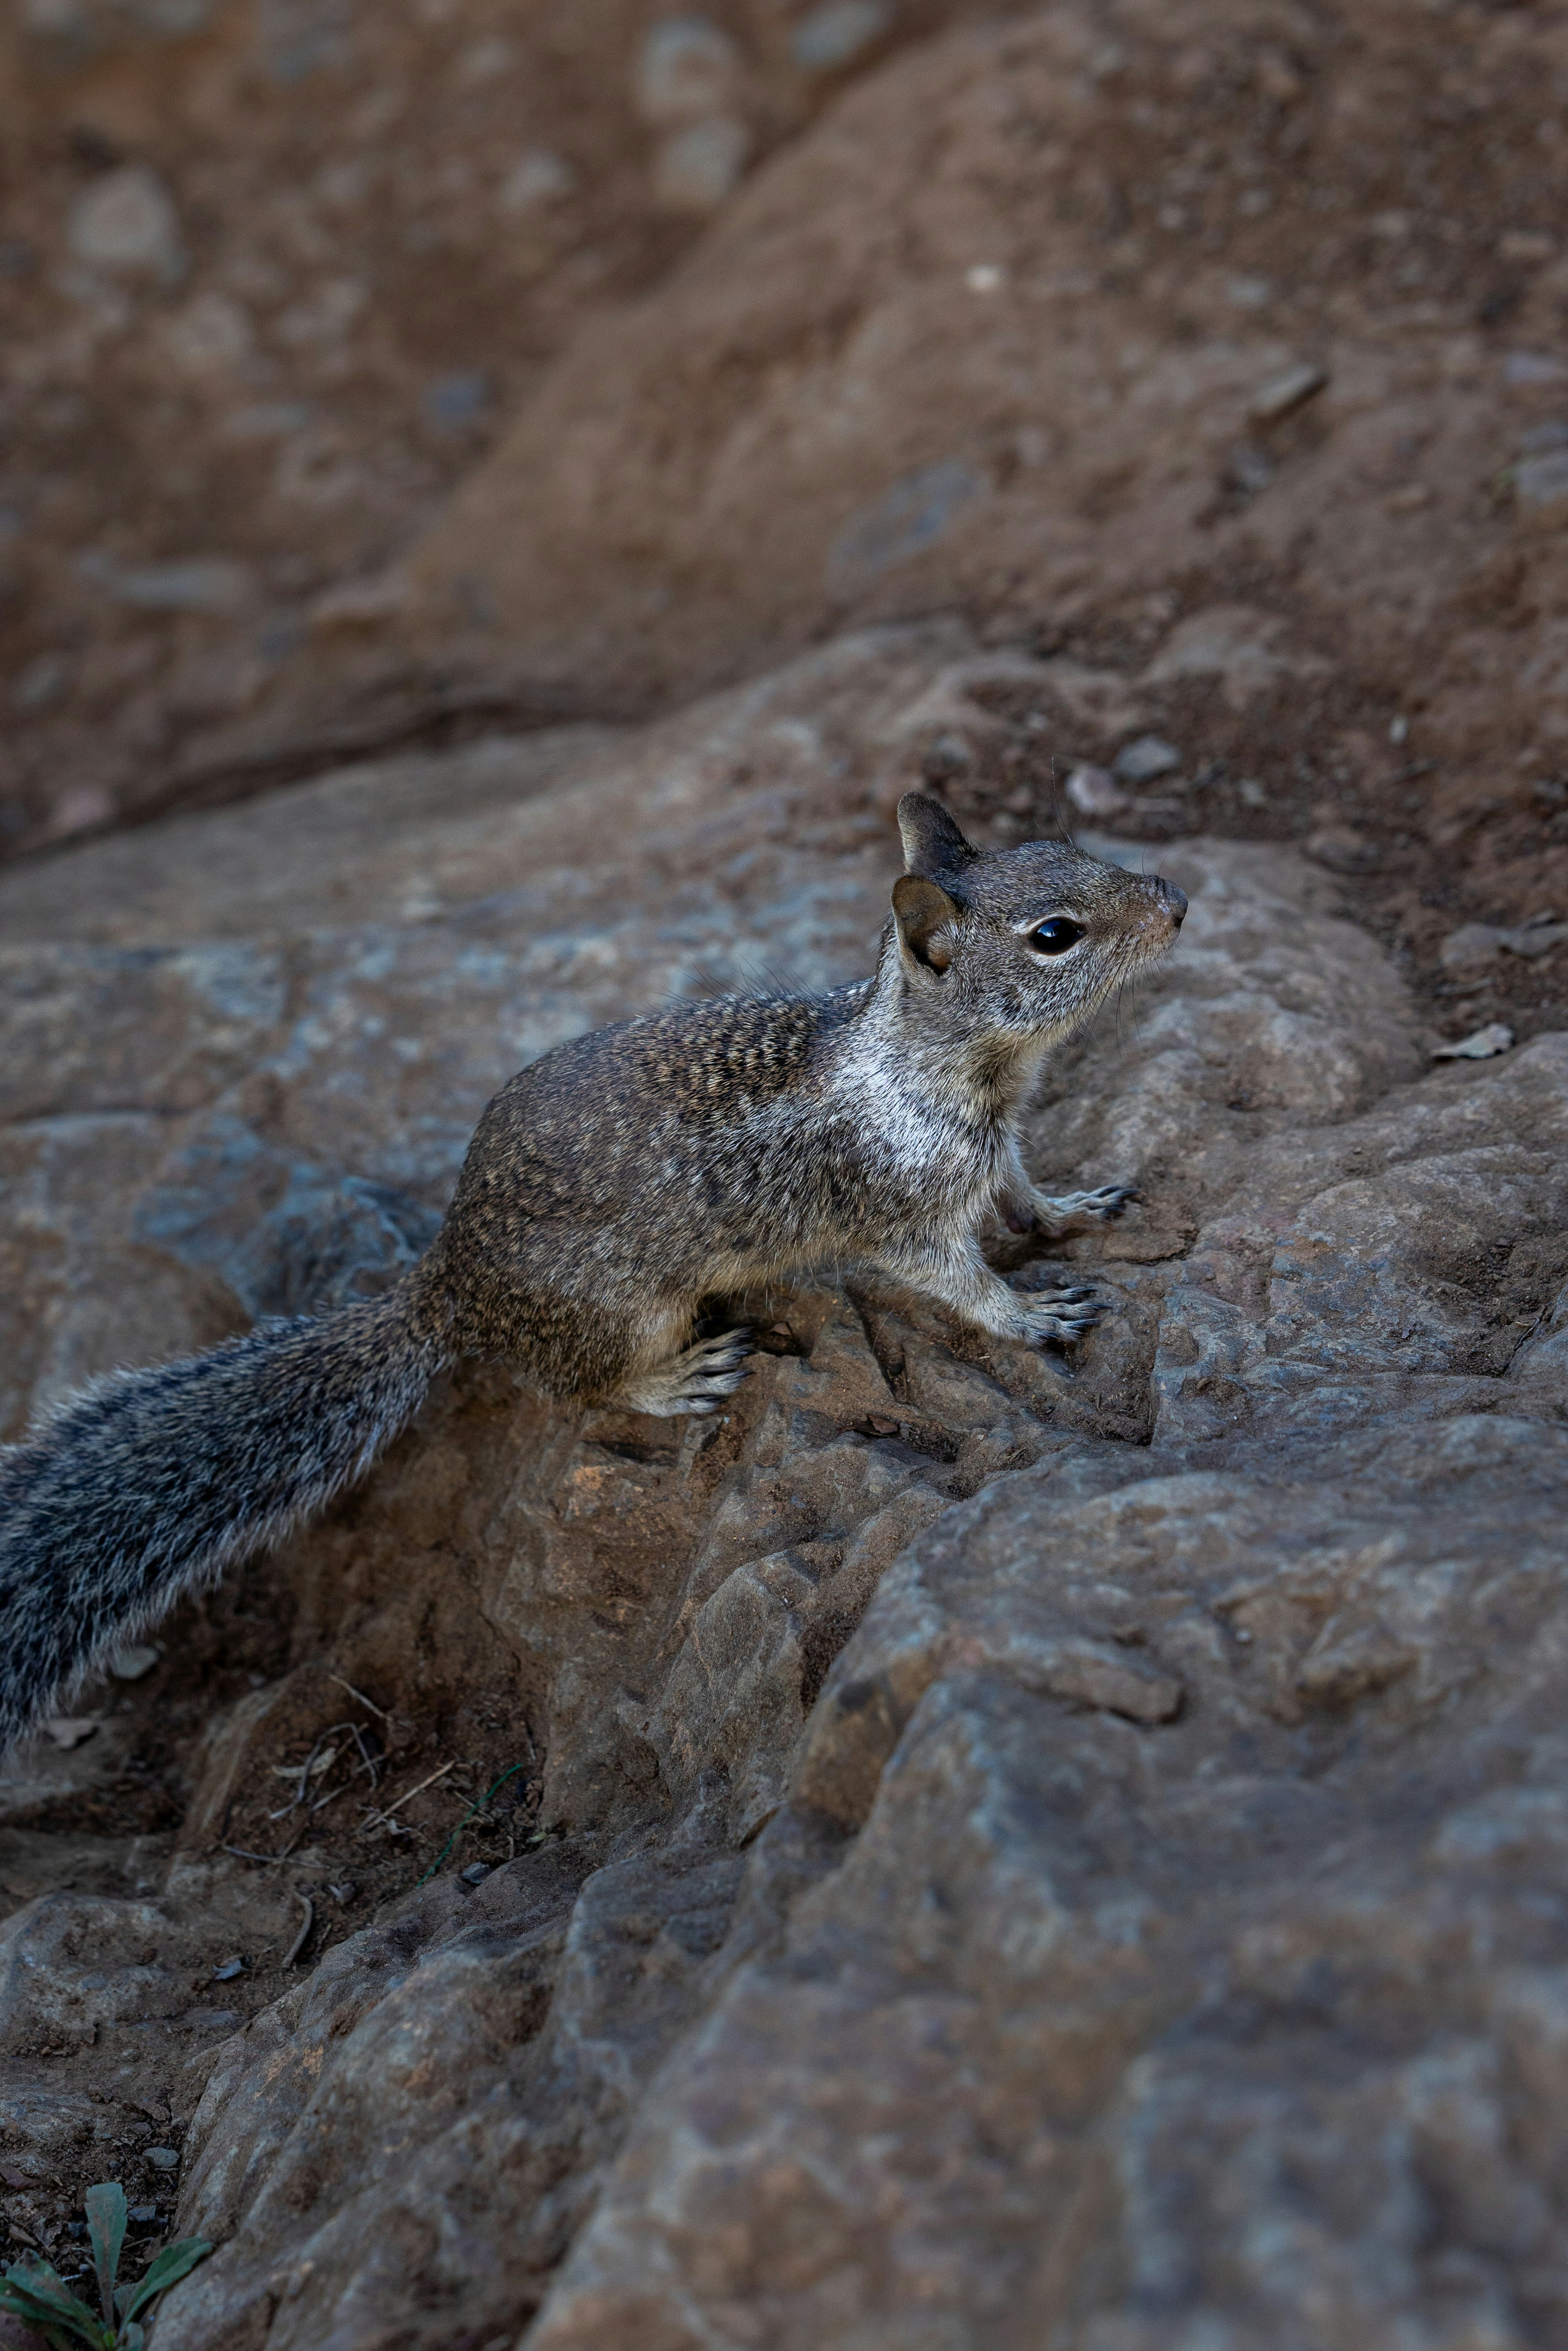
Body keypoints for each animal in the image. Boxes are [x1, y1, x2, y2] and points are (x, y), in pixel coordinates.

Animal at [0, 793, 1184, 1757]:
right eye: (1052, 935)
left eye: (1070, 845)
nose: (1175, 900)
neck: (935, 1061)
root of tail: (449, 1282)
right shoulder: (903, 1214)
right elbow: (959, 1281)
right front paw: (1030, 1311)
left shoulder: (996, 1146)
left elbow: (1022, 1191)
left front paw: (1070, 1211)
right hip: (627, 1312)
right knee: (575, 1389)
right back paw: (676, 1379)